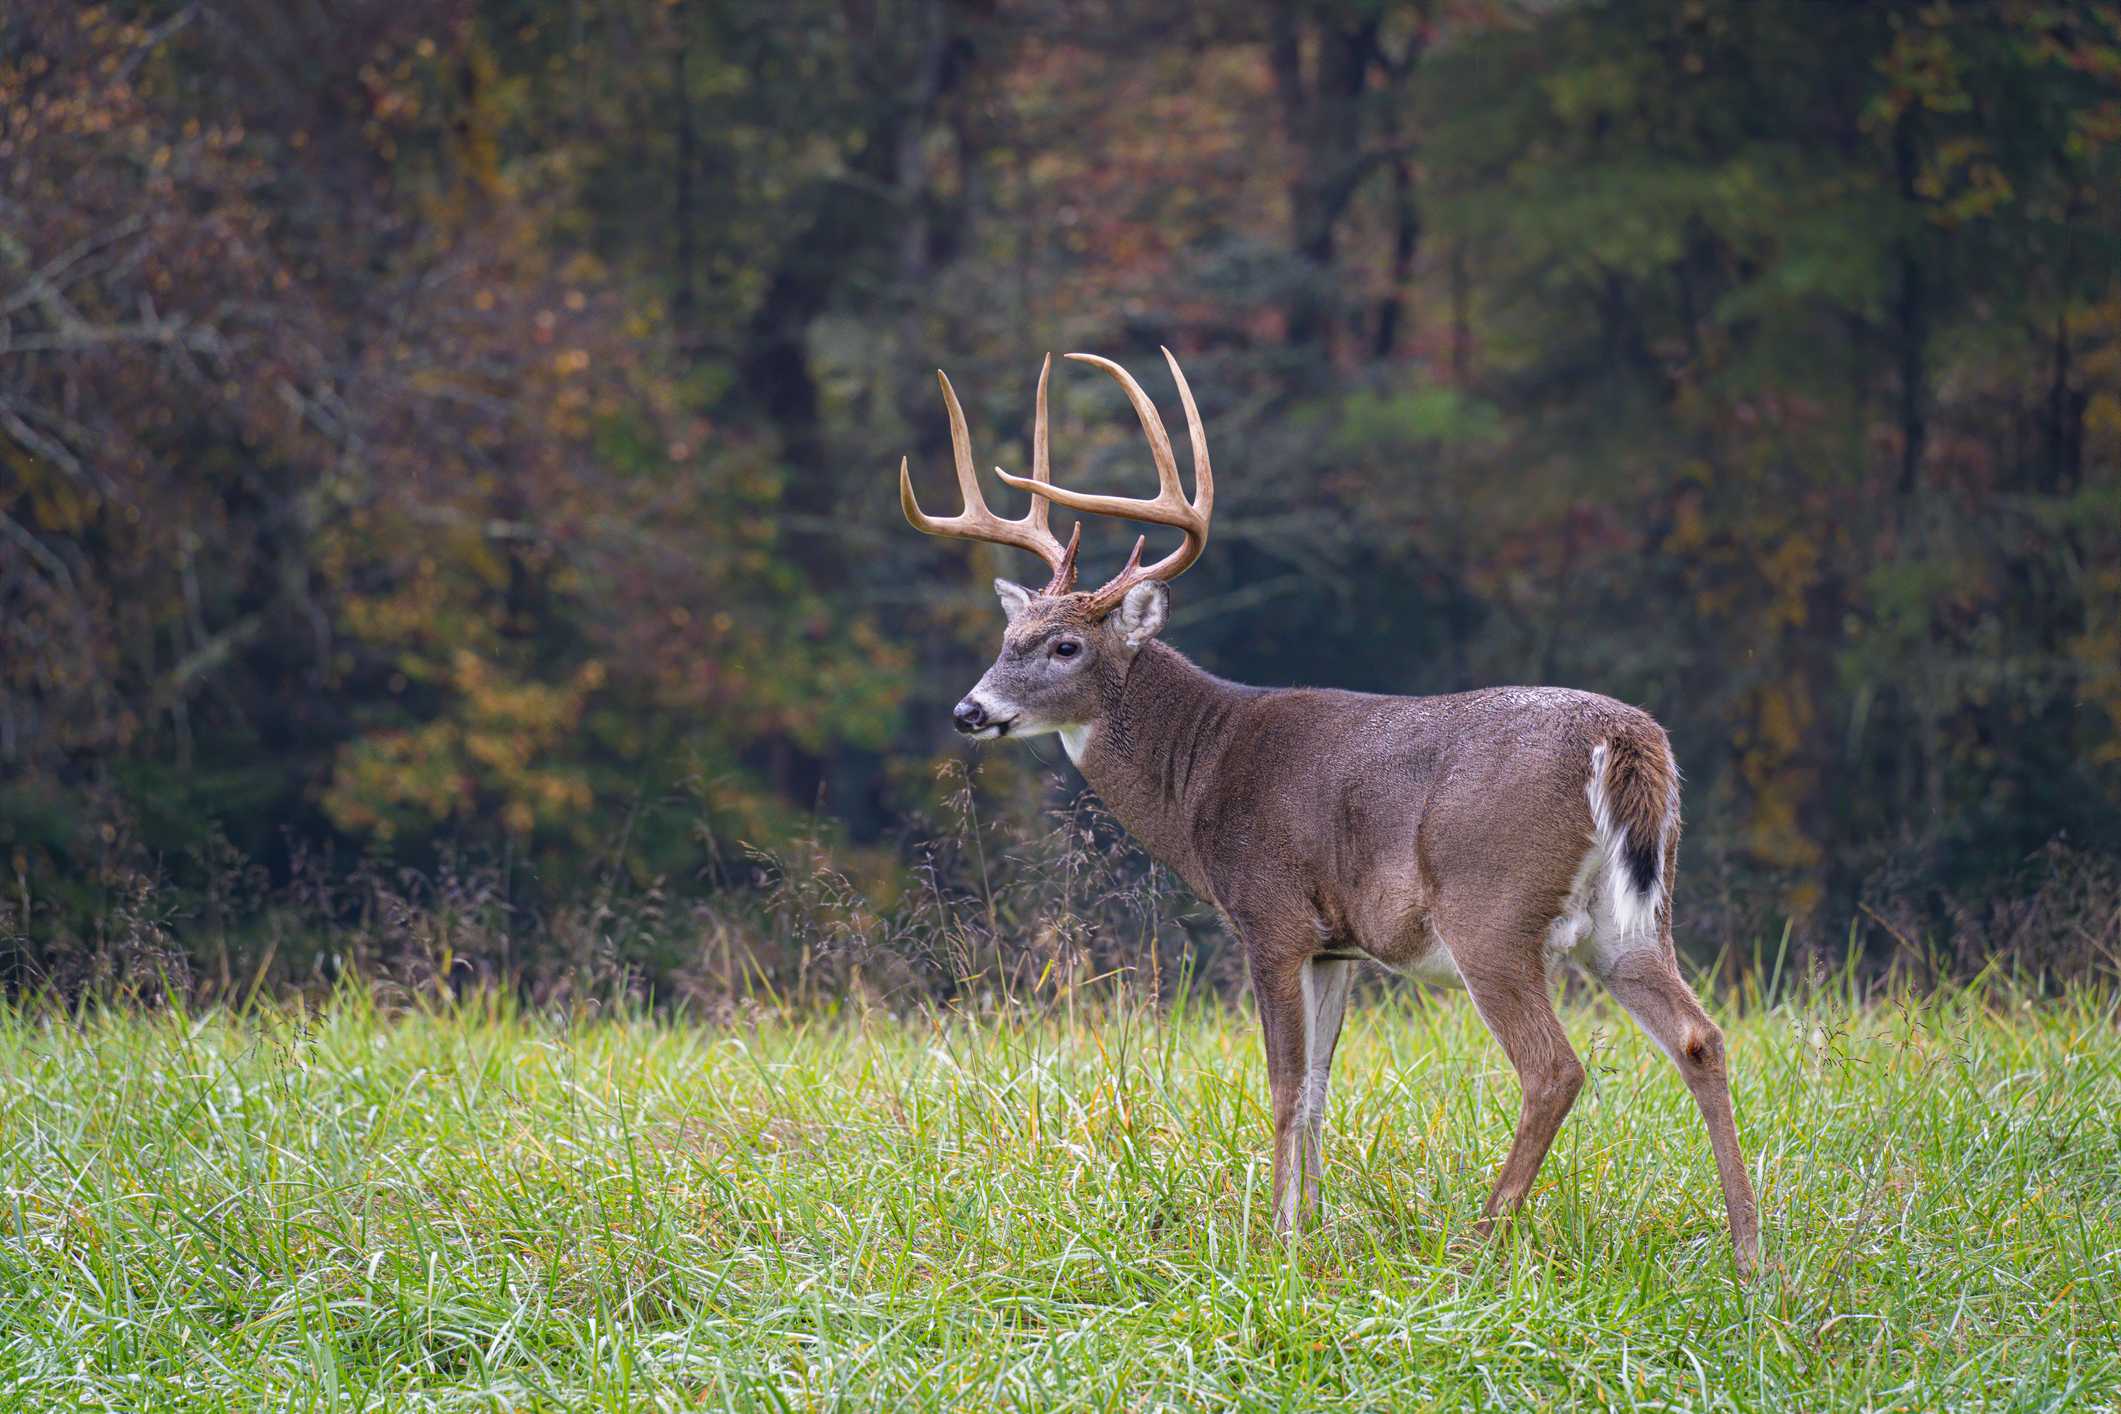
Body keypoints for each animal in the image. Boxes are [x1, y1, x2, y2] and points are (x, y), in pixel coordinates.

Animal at [897, 349, 1761, 1274]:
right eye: (1006, 639)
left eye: (1065, 646)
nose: (969, 711)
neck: (1202, 769)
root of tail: (1623, 737)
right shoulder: (1334, 943)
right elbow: (1316, 1085)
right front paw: (1310, 1227)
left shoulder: (1269, 915)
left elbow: (1281, 1084)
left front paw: (1274, 1242)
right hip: (1629, 916)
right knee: (1698, 1036)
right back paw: (1751, 1256)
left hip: (1490, 906)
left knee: (1552, 1068)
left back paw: (1477, 1245)